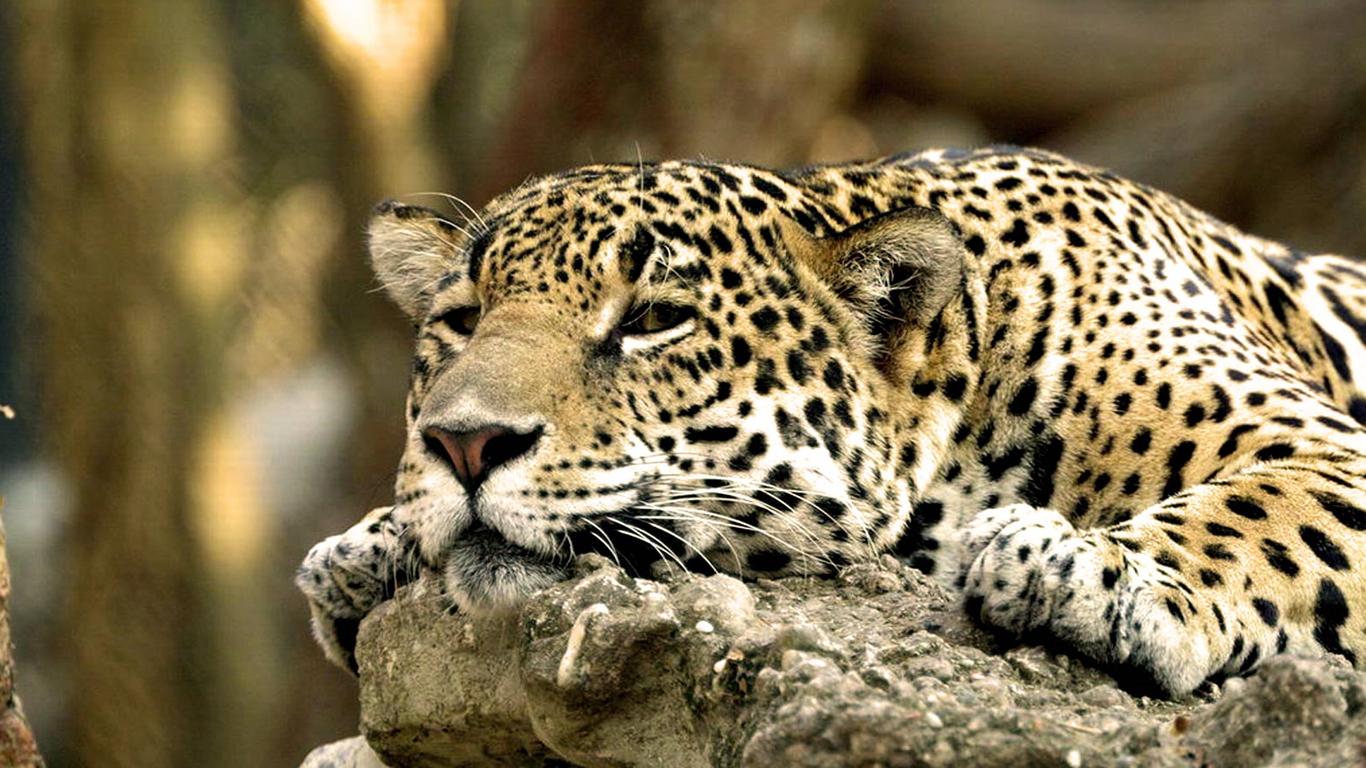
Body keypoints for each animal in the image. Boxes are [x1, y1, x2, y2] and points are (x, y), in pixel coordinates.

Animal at [297, 145, 1366, 697]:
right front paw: (371, 544)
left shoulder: (1323, 446)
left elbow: (1251, 514)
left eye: (652, 320)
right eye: (461, 320)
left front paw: (1086, 569)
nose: (464, 443)